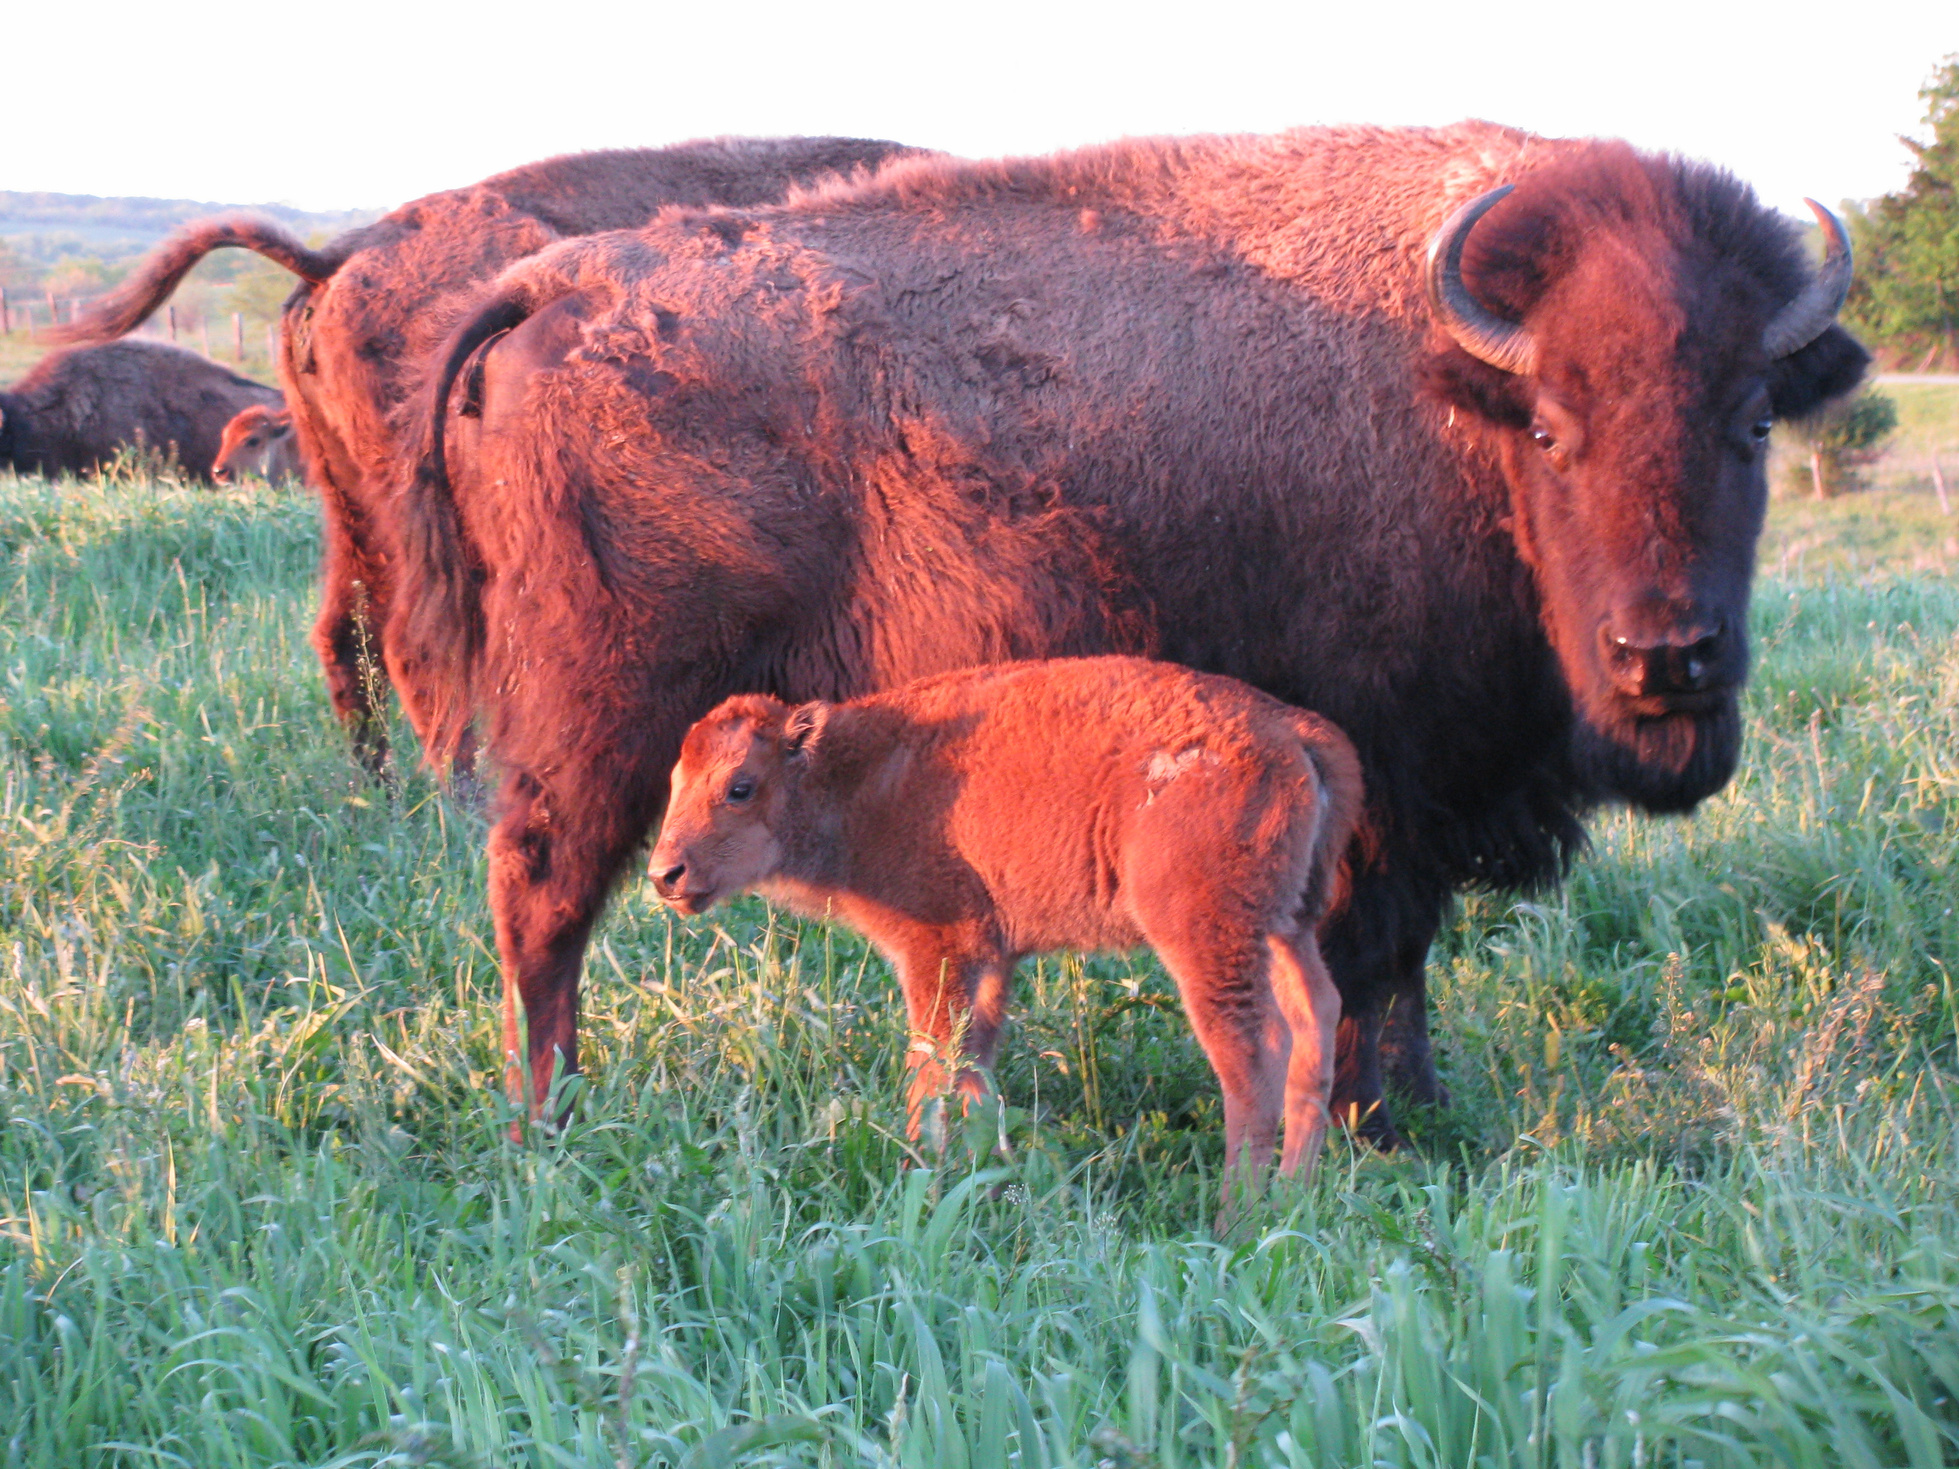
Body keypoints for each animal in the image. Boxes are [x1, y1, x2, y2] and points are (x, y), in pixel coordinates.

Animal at [395, 122, 1867, 1138]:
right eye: (1554, 428)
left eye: (1751, 417)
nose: (1664, 657)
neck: (1455, 401)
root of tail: (557, 286)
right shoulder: (1388, 771)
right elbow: (1376, 952)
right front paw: (1380, 1124)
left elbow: (1393, 959)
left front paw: (1411, 1111)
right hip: (605, 724)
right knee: (545, 898)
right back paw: (549, 1120)